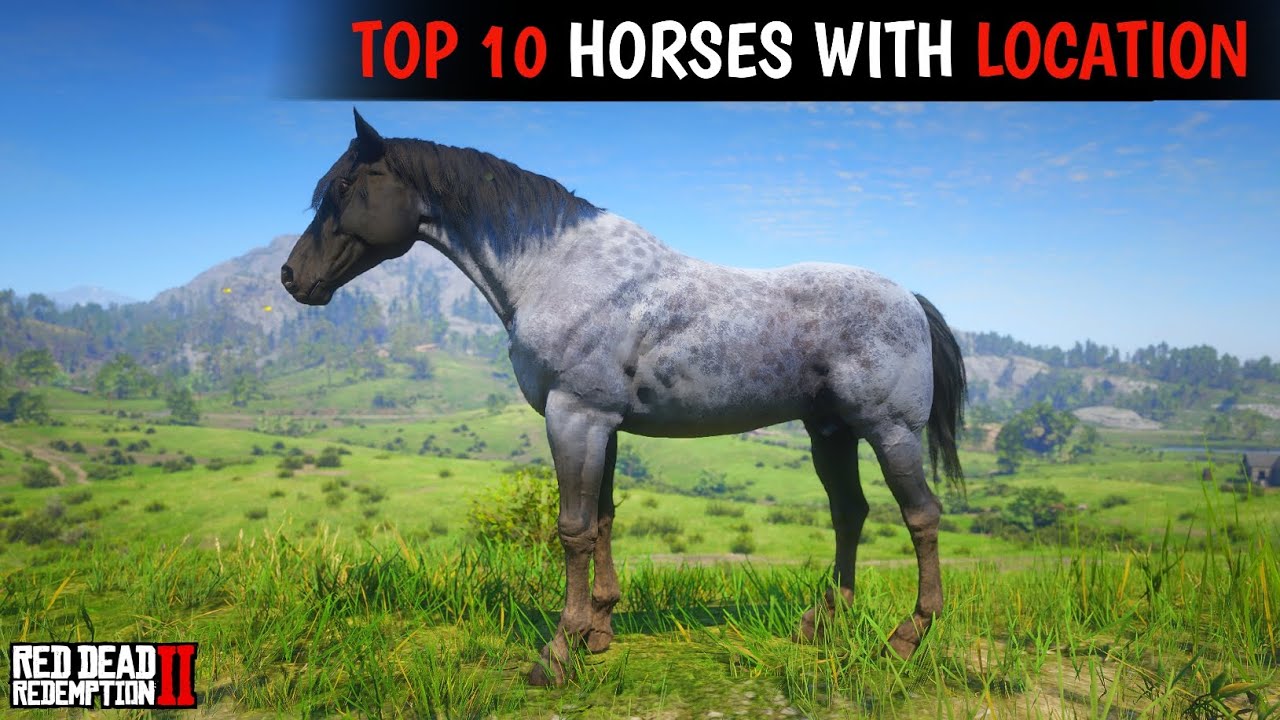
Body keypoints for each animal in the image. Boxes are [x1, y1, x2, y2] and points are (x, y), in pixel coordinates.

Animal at [281, 108, 967, 687]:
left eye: (343, 187)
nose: (292, 277)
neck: (557, 270)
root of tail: (910, 299)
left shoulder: (574, 417)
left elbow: (573, 529)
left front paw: (558, 653)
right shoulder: (602, 423)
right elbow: (604, 519)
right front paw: (599, 630)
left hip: (889, 429)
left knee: (922, 517)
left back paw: (907, 637)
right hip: (830, 432)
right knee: (850, 513)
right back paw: (822, 623)